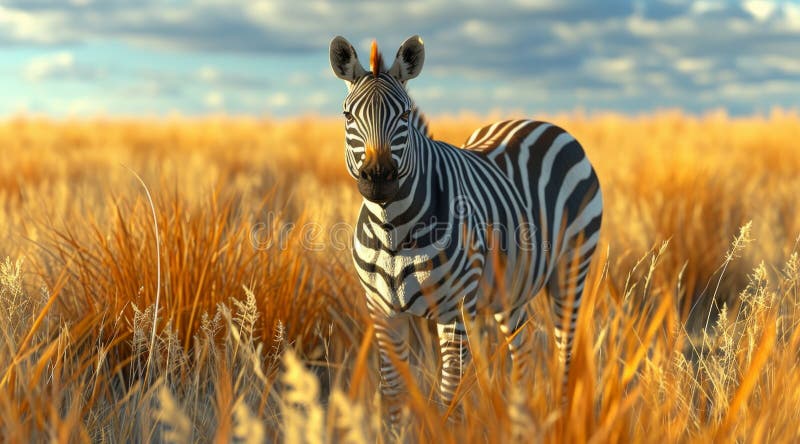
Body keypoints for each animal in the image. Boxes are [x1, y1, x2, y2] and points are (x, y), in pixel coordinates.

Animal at [329, 35, 603, 422]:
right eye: (347, 115)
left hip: (572, 265)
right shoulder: (382, 312)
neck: (392, 230)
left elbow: (448, 396)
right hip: (508, 285)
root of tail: (544, 124)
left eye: (405, 115)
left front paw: (446, 428)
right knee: (524, 345)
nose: (379, 179)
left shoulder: (453, 311)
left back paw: (560, 418)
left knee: (564, 349)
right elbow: (394, 394)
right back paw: (518, 417)